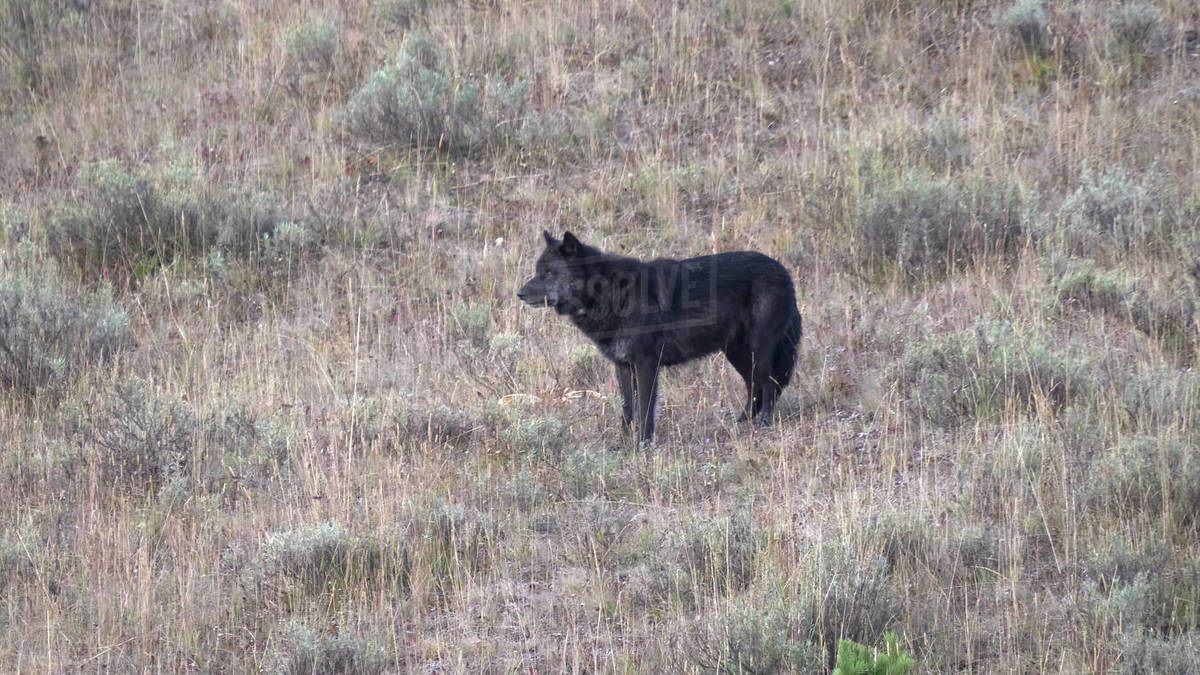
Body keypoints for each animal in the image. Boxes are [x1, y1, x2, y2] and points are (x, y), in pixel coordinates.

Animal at [518, 231, 802, 443]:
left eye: (548, 273)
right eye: (537, 270)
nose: (519, 293)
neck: (611, 294)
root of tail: (784, 272)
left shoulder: (646, 365)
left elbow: (644, 409)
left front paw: (643, 445)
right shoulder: (623, 366)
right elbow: (627, 409)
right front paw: (623, 445)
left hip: (758, 349)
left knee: (769, 385)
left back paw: (764, 424)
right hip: (736, 352)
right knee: (754, 385)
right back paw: (740, 423)